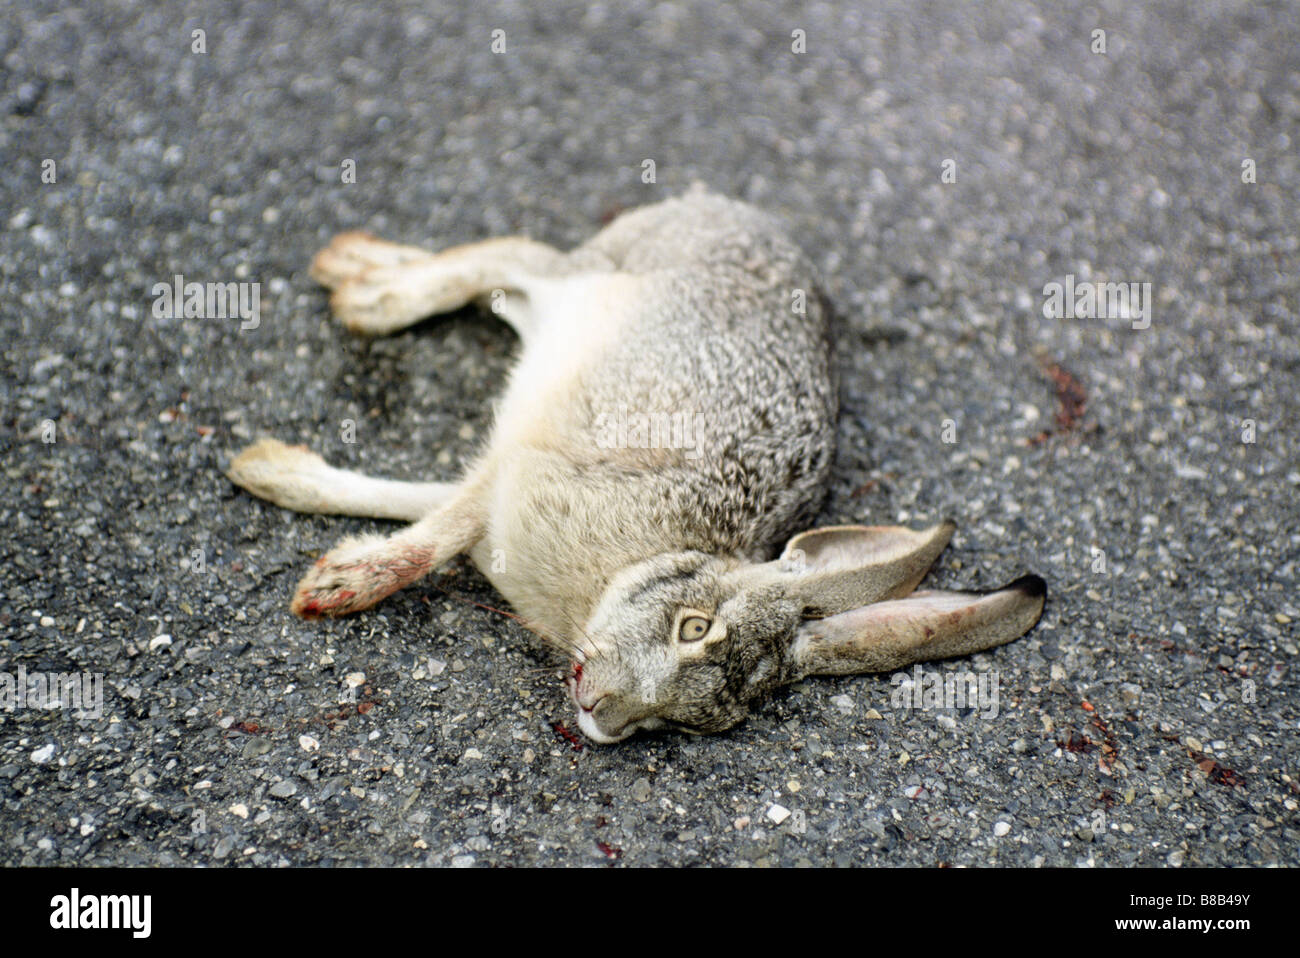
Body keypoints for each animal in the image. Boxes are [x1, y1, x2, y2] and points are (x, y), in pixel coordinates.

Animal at [226, 185, 1045, 743]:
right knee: (502, 258)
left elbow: (409, 501)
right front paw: (335, 583)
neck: (634, 566)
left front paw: (271, 474)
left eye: (689, 723)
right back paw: (364, 287)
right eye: (694, 628)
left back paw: (361, 269)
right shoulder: (523, 470)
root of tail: (731, 209)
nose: (605, 717)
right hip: (595, 281)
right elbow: (429, 537)